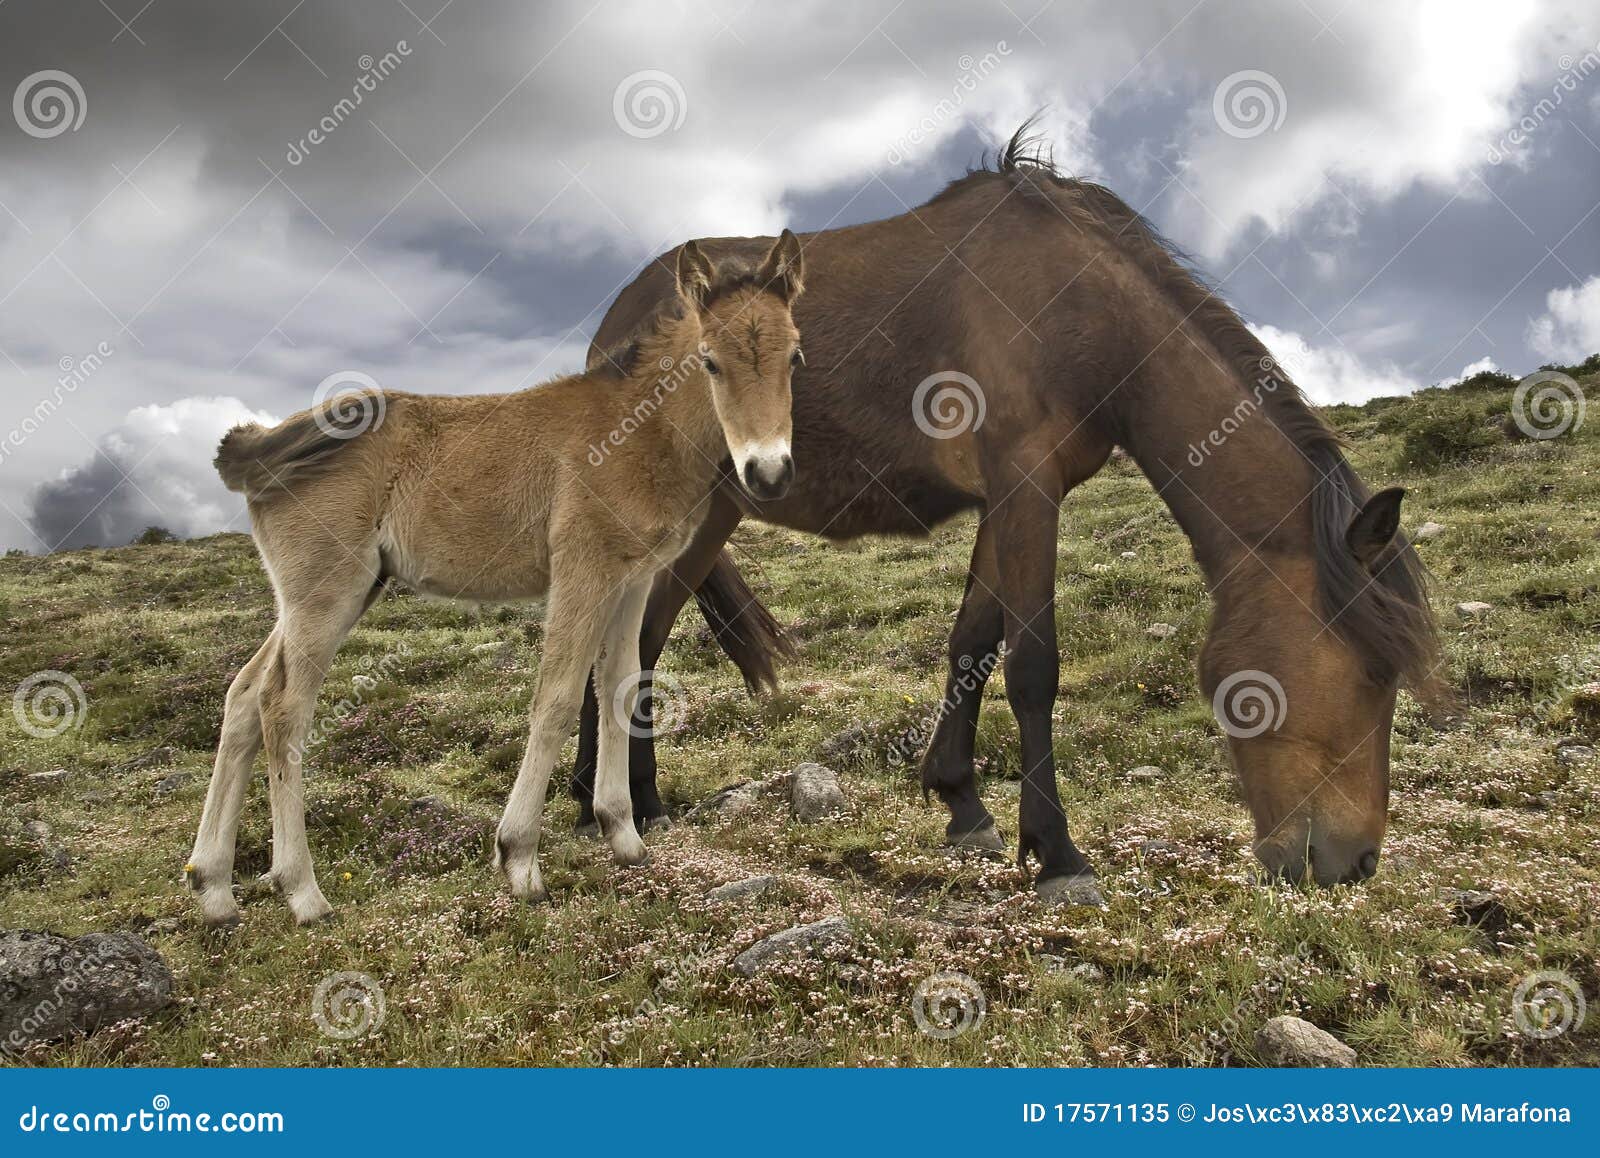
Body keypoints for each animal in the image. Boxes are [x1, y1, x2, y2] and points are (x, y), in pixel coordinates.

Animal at [186, 232, 806, 926]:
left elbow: (620, 688)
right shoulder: (582, 570)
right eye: (710, 362)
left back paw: (214, 887)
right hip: (327, 593)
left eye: (794, 356)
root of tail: (267, 447)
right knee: (283, 706)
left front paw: (624, 835)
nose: (769, 473)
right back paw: (302, 890)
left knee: (243, 695)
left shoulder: (631, 581)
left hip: (322, 596)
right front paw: (519, 858)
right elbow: (557, 698)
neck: (639, 429)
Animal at [568, 129, 1441, 905]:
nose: (1356, 863)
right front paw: (1058, 855)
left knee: (635, 639)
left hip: (710, 516)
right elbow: (1031, 667)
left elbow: (974, 645)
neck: (1084, 314)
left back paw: (612, 800)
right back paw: (613, 803)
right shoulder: (1026, 484)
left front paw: (964, 806)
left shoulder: (1012, 497)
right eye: (1374, 672)